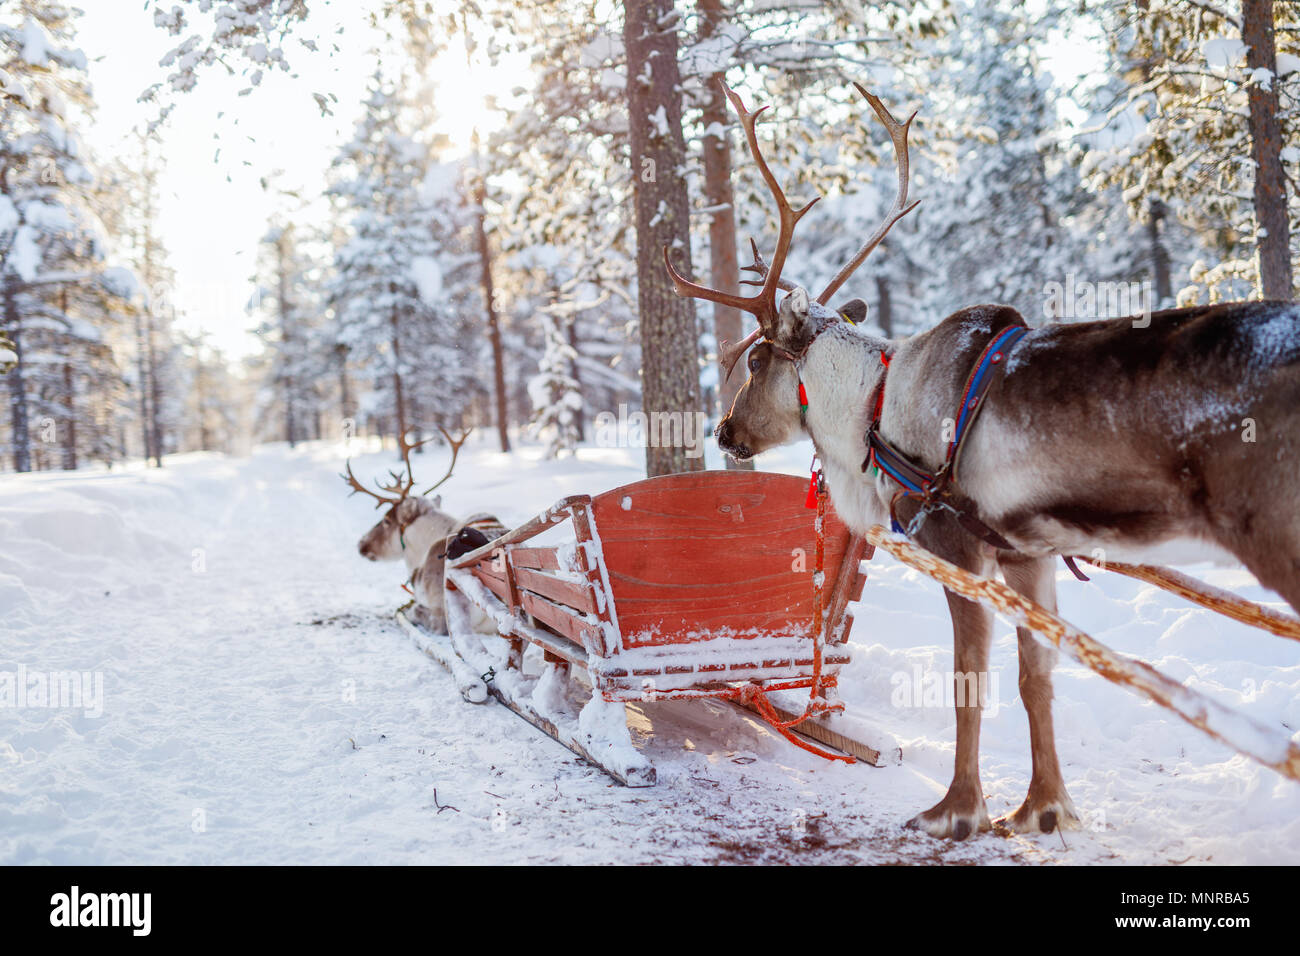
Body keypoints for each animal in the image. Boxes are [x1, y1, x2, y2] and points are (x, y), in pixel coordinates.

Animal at [666, 81, 1300, 841]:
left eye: (758, 360)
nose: (723, 431)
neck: (872, 411)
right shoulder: (1028, 555)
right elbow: (1035, 676)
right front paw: (1042, 807)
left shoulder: (958, 548)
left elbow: (969, 679)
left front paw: (957, 809)